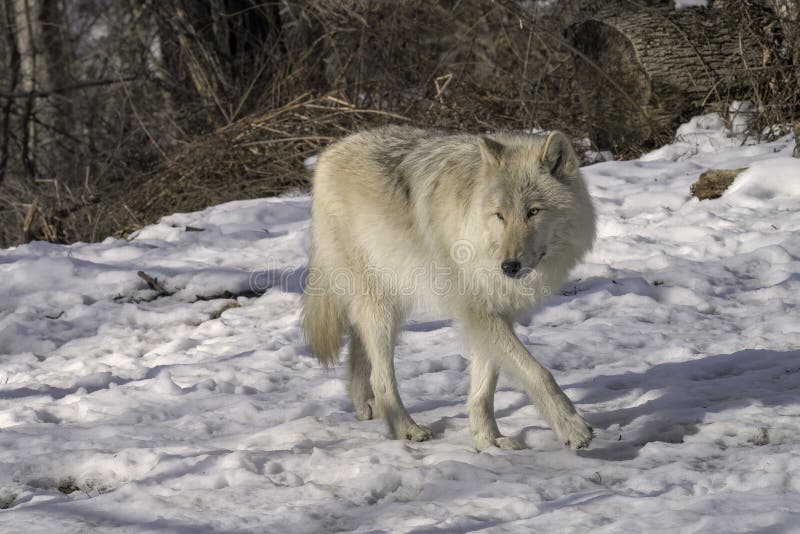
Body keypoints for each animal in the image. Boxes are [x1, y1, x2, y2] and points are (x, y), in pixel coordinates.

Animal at [302, 126, 596, 451]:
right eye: (500, 215)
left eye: (533, 211)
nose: (508, 267)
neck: (480, 234)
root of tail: (329, 153)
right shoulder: (475, 312)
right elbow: (539, 373)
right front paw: (572, 428)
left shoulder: (494, 314)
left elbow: (484, 386)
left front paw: (489, 440)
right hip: (383, 309)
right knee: (381, 377)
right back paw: (407, 429)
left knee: (358, 347)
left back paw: (366, 406)